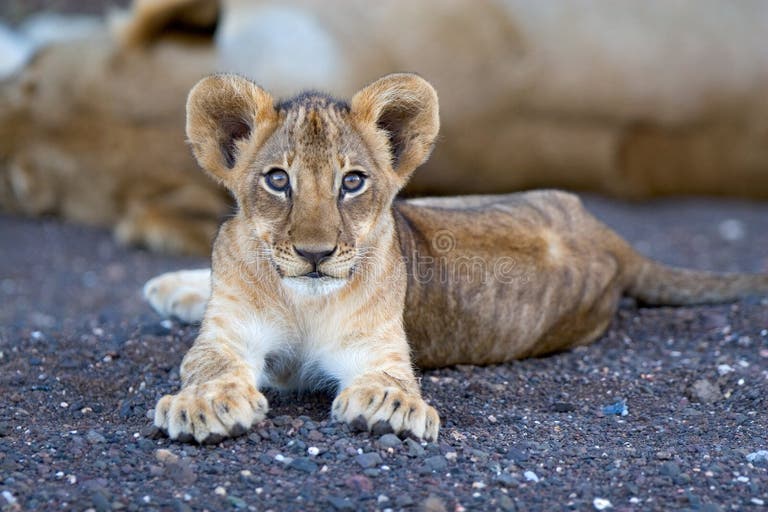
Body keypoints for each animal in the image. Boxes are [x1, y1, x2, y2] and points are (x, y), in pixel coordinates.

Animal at [146, 73, 768, 444]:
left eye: (352, 182)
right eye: (278, 180)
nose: (315, 255)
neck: (303, 301)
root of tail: (600, 227)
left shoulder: (379, 345)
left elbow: (391, 377)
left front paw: (388, 406)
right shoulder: (227, 333)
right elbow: (209, 363)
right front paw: (207, 406)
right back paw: (168, 288)